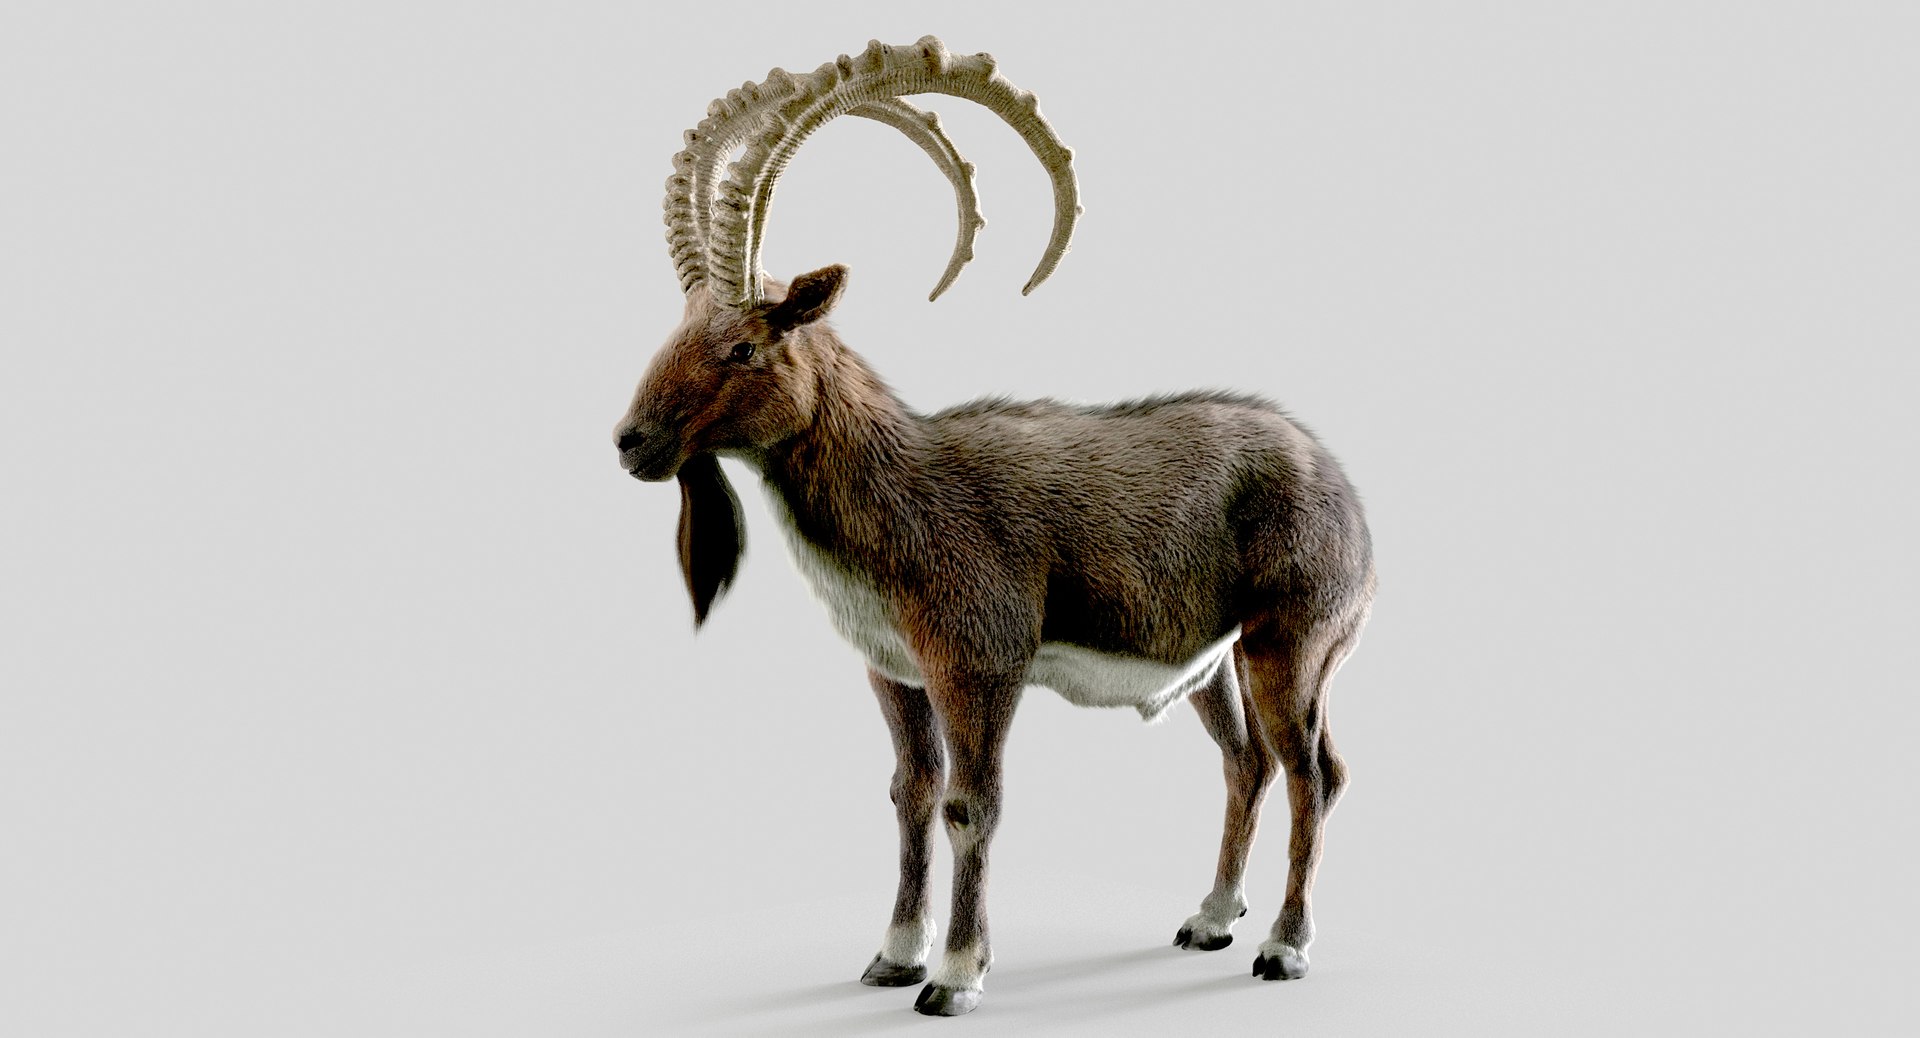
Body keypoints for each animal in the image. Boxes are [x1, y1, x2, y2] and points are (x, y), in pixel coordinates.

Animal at [615, 37, 1375, 1017]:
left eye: (745, 345)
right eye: (678, 325)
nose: (631, 442)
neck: (905, 486)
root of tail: (1341, 485)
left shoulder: (981, 665)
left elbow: (972, 804)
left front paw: (955, 978)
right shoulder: (896, 672)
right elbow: (911, 791)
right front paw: (893, 956)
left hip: (1295, 645)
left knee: (1316, 772)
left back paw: (1283, 947)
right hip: (1216, 660)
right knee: (1248, 763)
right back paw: (1209, 920)